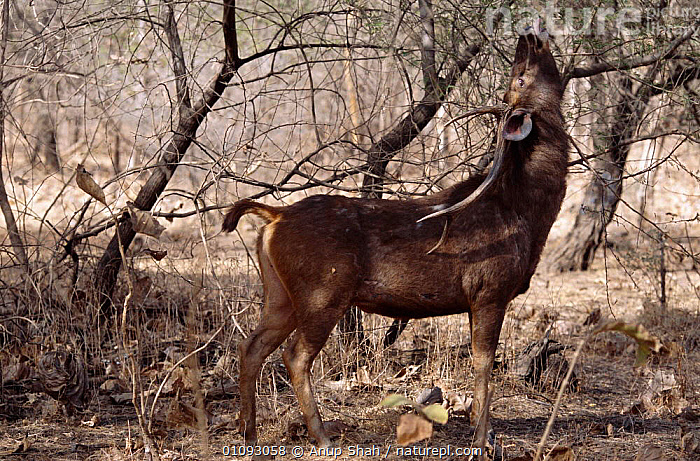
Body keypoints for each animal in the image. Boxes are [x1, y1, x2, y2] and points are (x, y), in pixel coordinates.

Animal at [222, 20, 569, 453]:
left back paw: (249, 430)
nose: (528, 36)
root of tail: (275, 215)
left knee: (251, 346)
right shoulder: (490, 288)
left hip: (280, 294)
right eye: (519, 77)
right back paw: (321, 434)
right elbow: (483, 362)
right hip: (323, 292)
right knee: (295, 356)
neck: (528, 213)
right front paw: (482, 436)